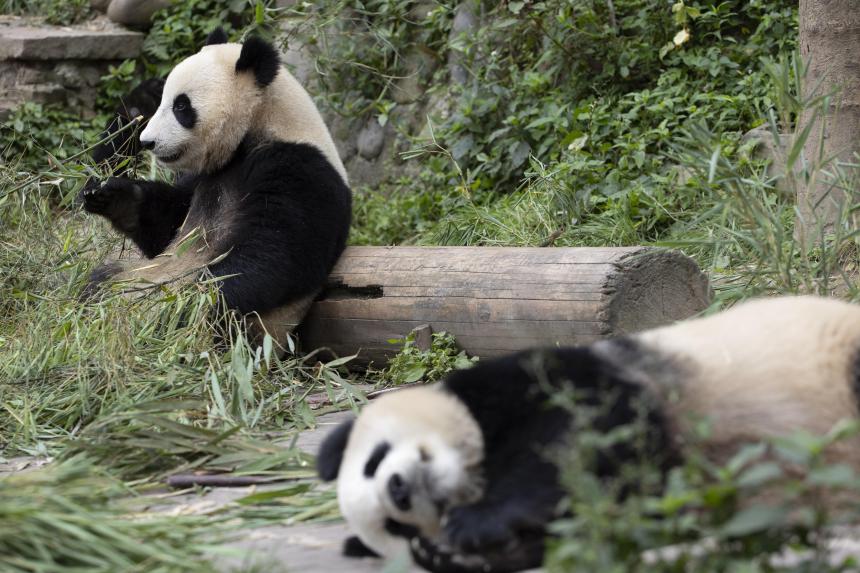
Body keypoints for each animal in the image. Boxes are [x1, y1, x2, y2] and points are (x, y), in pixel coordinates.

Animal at [80, 29, 351, 343]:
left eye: (181, 105)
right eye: (164, 101)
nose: (148, 142)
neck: (261, 124)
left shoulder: (301, 172)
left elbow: (274, 257)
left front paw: (190, 300)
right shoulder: (206, 176)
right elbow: (165, 225)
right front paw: (108, 193)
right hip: (129, 274)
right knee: (99, 281)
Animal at [317, 296, 860, 573]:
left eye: (375, 458)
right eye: (396, 528)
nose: (399, 489)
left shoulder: (538, 378)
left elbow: (580, 428)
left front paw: (477, 523)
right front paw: (453, 550)